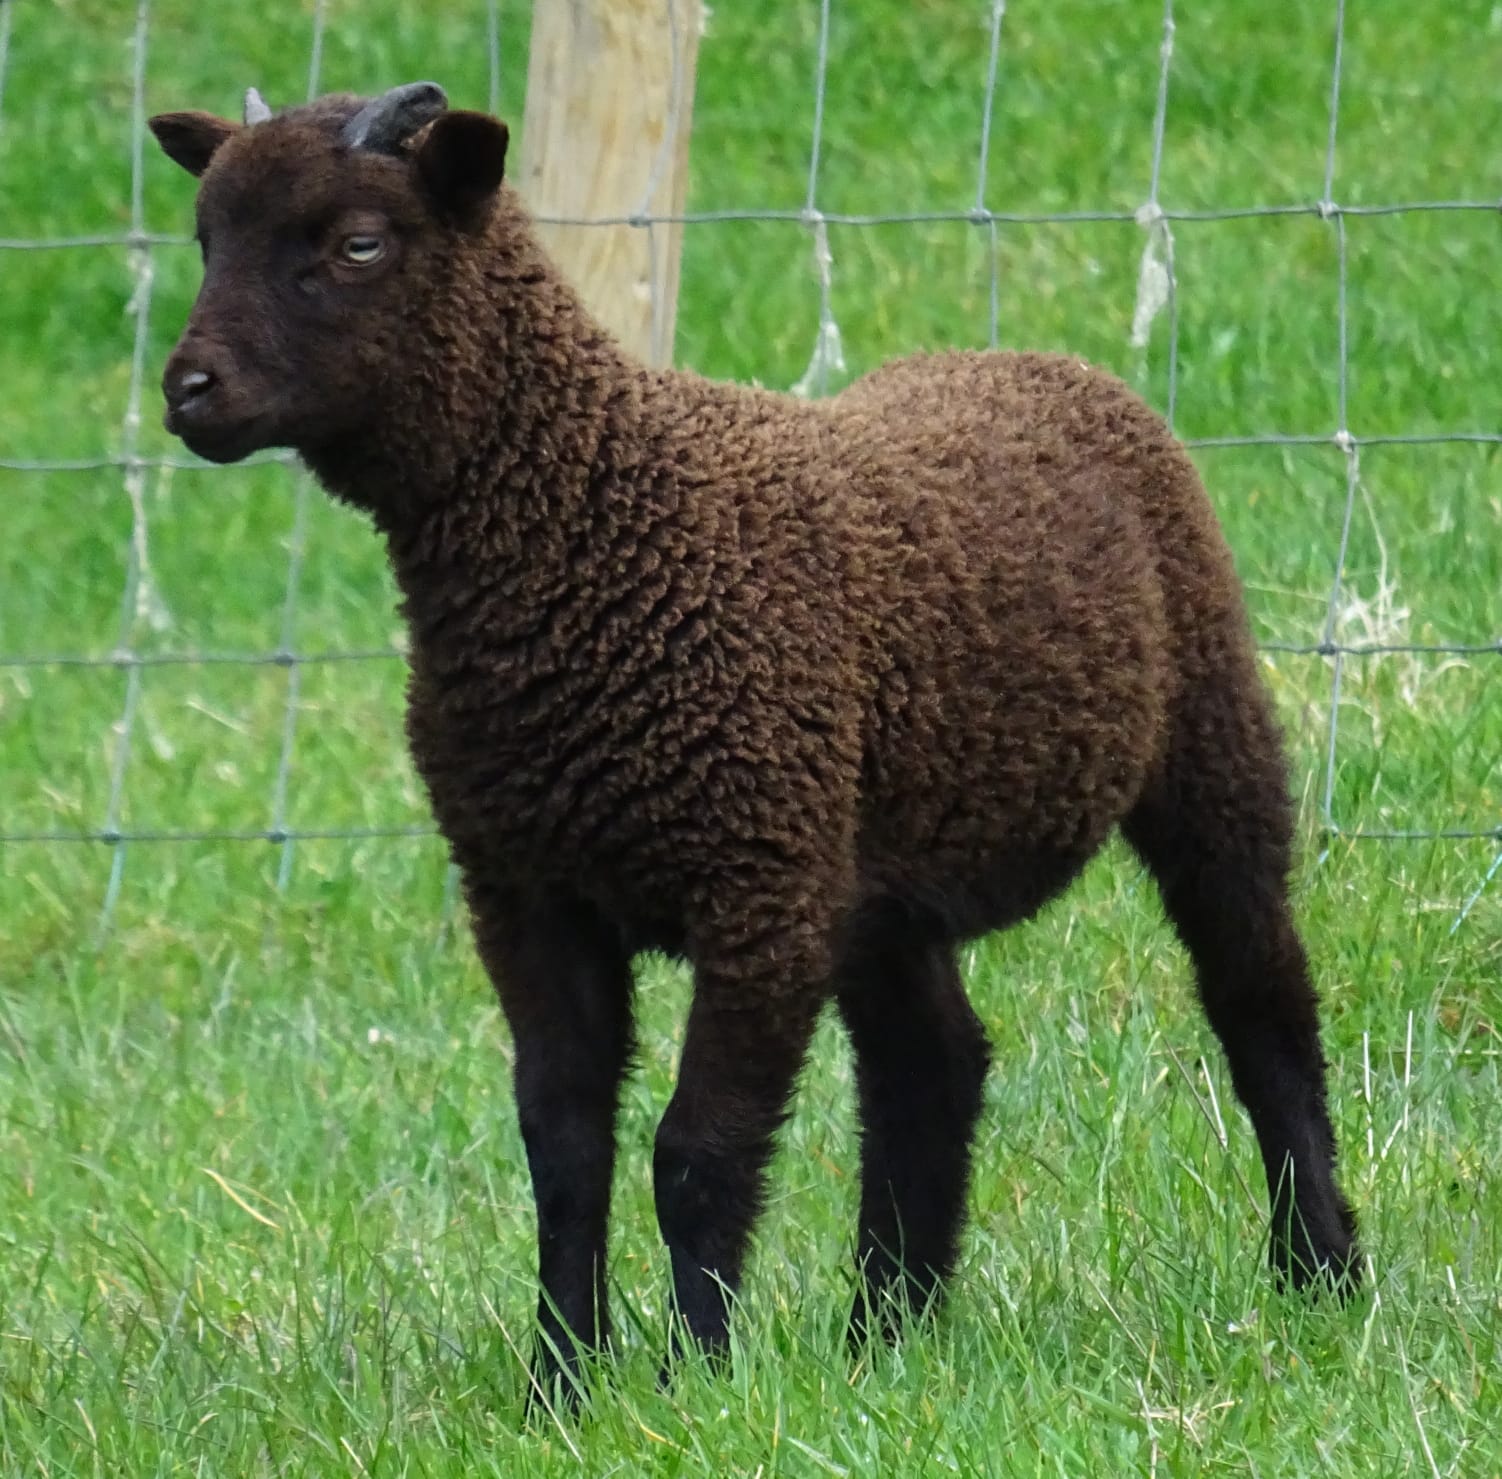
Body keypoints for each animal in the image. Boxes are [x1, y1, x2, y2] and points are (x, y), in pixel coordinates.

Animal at [148, 82, 1362, 1392]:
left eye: (359, 244)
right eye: (207, 238)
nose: (188, 390)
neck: (579, 537)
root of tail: (1040, 360)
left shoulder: (756, 882)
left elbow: (697, 1152)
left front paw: (694, 1379)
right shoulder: (527, 890)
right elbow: (563, 1150)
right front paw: (560, 1383)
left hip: (1206, 739)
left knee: (1259, 1006)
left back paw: (1320, 1272)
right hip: (873, 871)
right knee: (933, 1065)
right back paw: (887, 1331)